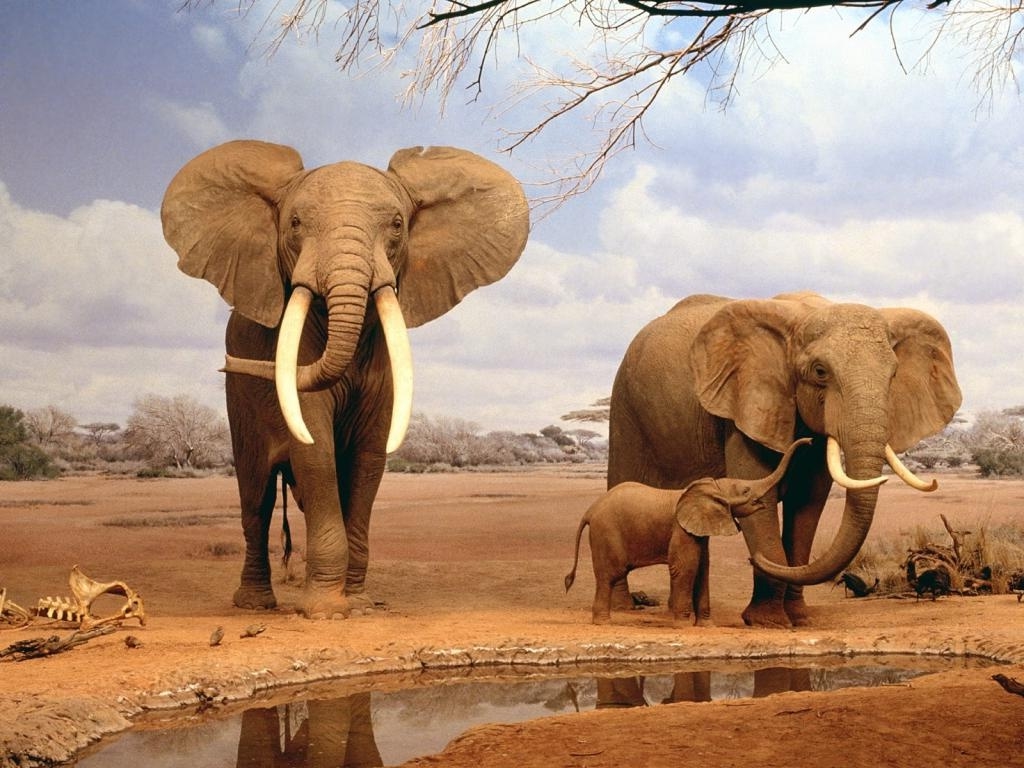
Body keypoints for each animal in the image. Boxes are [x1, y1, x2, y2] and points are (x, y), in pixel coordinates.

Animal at [161, 140, 529, 619]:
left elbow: (368, 458)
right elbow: (315, 450)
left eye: (397, 225)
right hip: (238, 402)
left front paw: (360, 604)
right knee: (256, 498)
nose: (226, 362)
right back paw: (255, 605)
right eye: (295, 224)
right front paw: (326, 612)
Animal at [565, 438, 811, 625]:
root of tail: (590, 510)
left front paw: (706, 625)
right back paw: (603, 622)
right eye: (745, 490)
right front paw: (683, 625)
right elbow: (686, 568)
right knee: (609, 575)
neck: (710, 487)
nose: (809, 441)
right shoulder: (681, 529)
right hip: (606, 532)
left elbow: (702, 569)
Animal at [608, 291, 961, 627]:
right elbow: (760, 495)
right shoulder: (747, 407)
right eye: (820, 372)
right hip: (625, 406)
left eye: (894, 374)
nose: (754, 559)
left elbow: (808, 504)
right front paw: (769, 622)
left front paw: (799, 619)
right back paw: (622, 608)